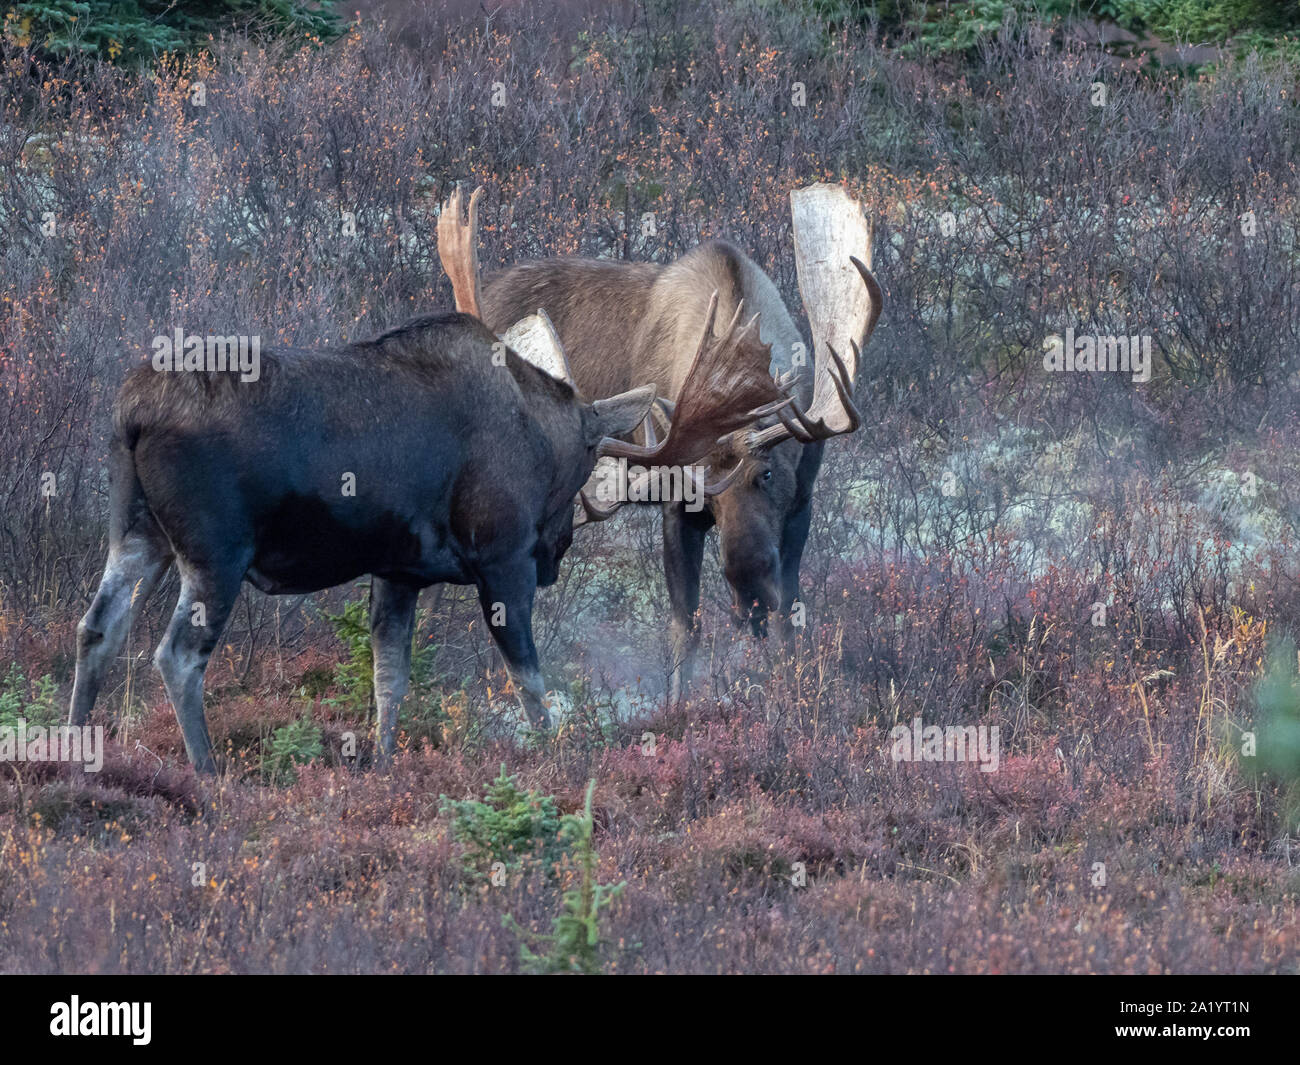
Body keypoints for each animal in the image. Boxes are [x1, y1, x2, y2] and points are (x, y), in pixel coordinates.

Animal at [68, 190, 781, 772]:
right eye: (578, 472)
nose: (557, 553)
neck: (543, 424)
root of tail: (131, 415)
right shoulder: (500, 558)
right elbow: (529, 682)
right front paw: (559, 755)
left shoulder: (398, 570)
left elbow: (390, 679)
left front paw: (382, 764)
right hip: (214, 551)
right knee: (176, 655)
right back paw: (207, 771)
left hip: (138, 534)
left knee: (96, 629)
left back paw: (76, 756)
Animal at [476, 183, 883, 699]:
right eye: (701, 493)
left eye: (767, 474)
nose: (749, 591)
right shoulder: (674, 507)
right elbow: (684, 627)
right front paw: (678, 704)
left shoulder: (803, 500)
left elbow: (792, 616)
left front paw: (790, 688)